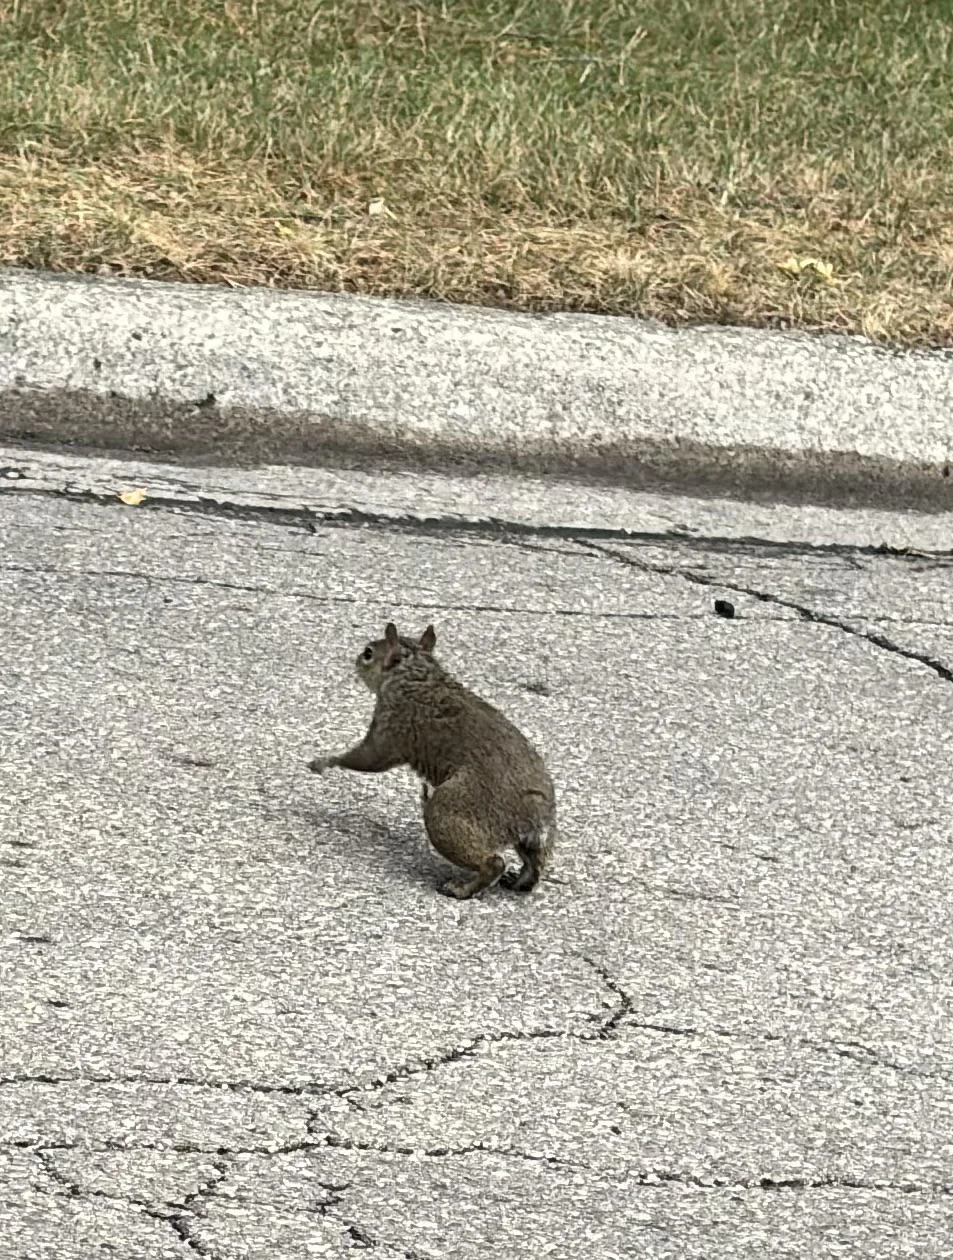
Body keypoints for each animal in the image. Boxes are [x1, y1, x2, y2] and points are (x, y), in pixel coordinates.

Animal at [308, 622, 556, 900]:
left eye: (369, 652)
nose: (357, 660)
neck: (417, 672)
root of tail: (533, 817)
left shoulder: (390, 726)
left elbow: (367, 759)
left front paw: (324, 761)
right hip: (529, 842)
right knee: (534, 865)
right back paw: (519, 882)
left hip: (448, 813)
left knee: (493, 863)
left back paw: (461, 888)